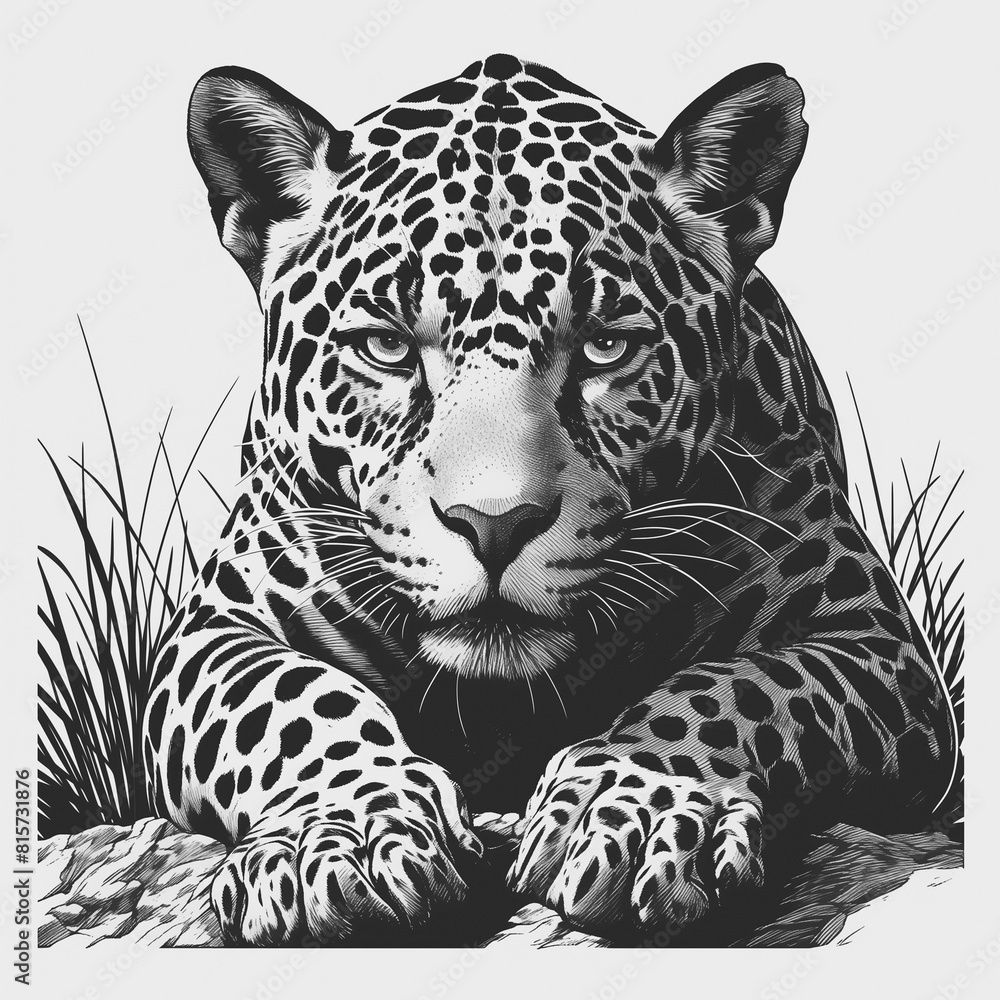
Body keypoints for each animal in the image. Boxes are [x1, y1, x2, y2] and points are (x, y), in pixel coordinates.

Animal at [143, 53, 957, 945]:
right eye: (386, 346)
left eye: (606, 346)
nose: (495, 526)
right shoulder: (221, 623)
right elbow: (297, 706)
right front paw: (343, 836)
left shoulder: (866, 634)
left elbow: (737, 689)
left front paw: (634, 806)